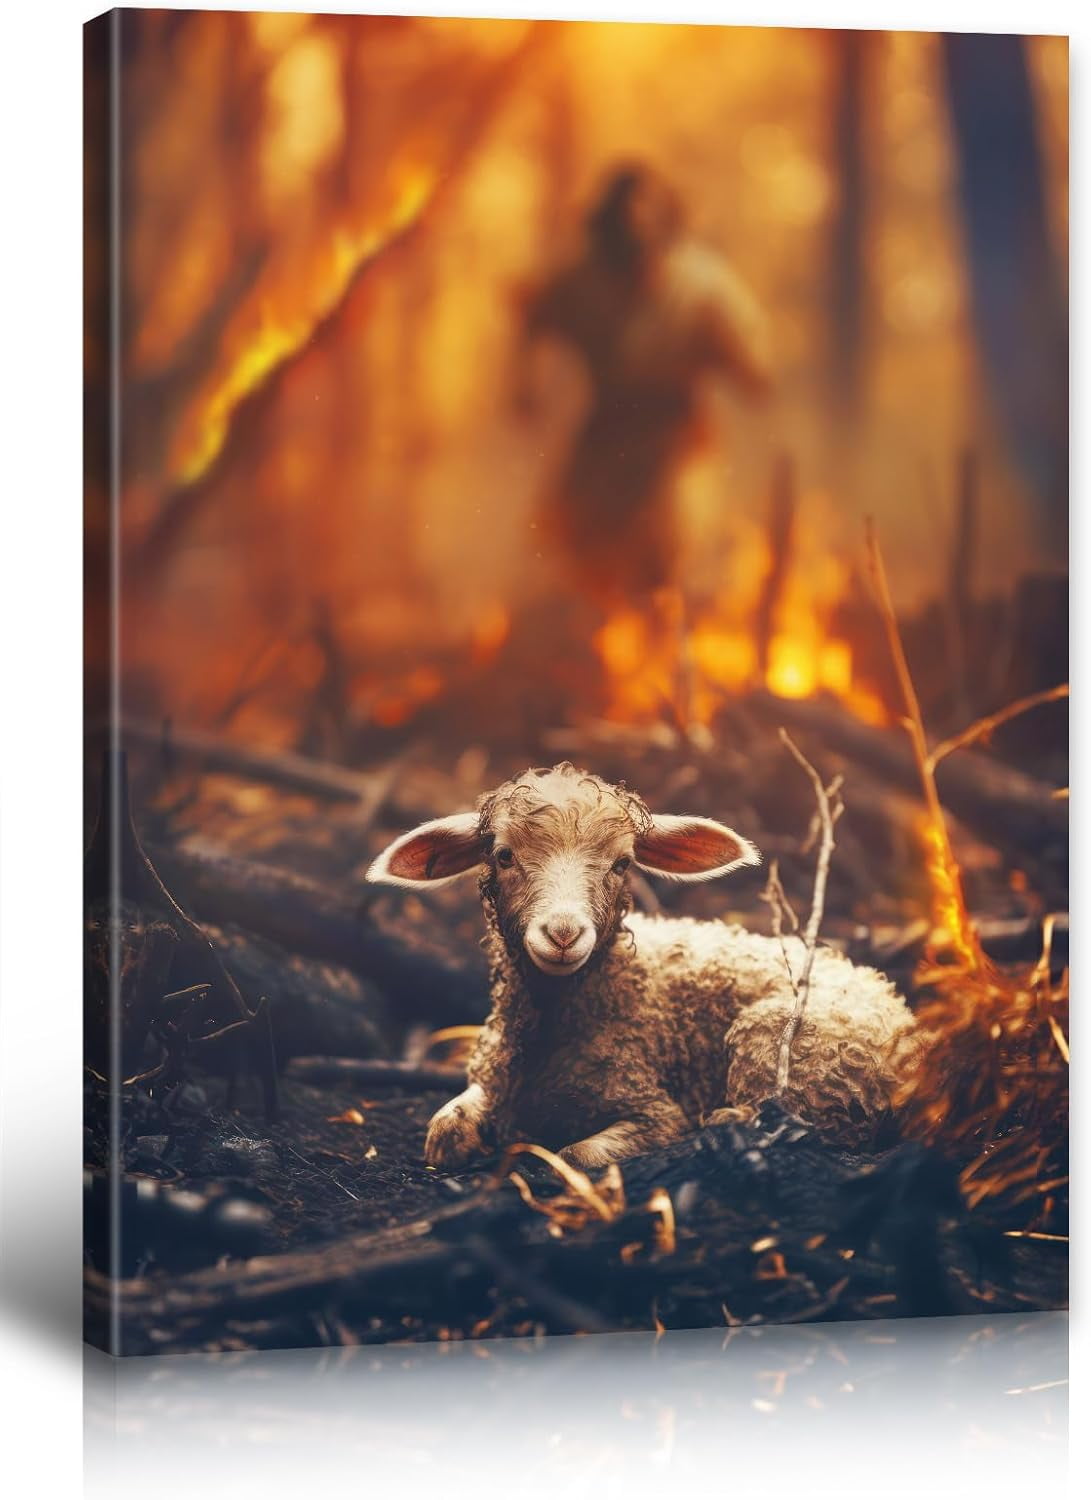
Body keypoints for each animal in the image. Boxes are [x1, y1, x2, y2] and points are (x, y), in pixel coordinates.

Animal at [366, 762, 922, 1169]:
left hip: (778, 1042)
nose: (563, 933)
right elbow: (443, 1133)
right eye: (503, 856)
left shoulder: (654, 1109)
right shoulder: (492, 1075)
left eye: (622, 863)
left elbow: (578, 1155)